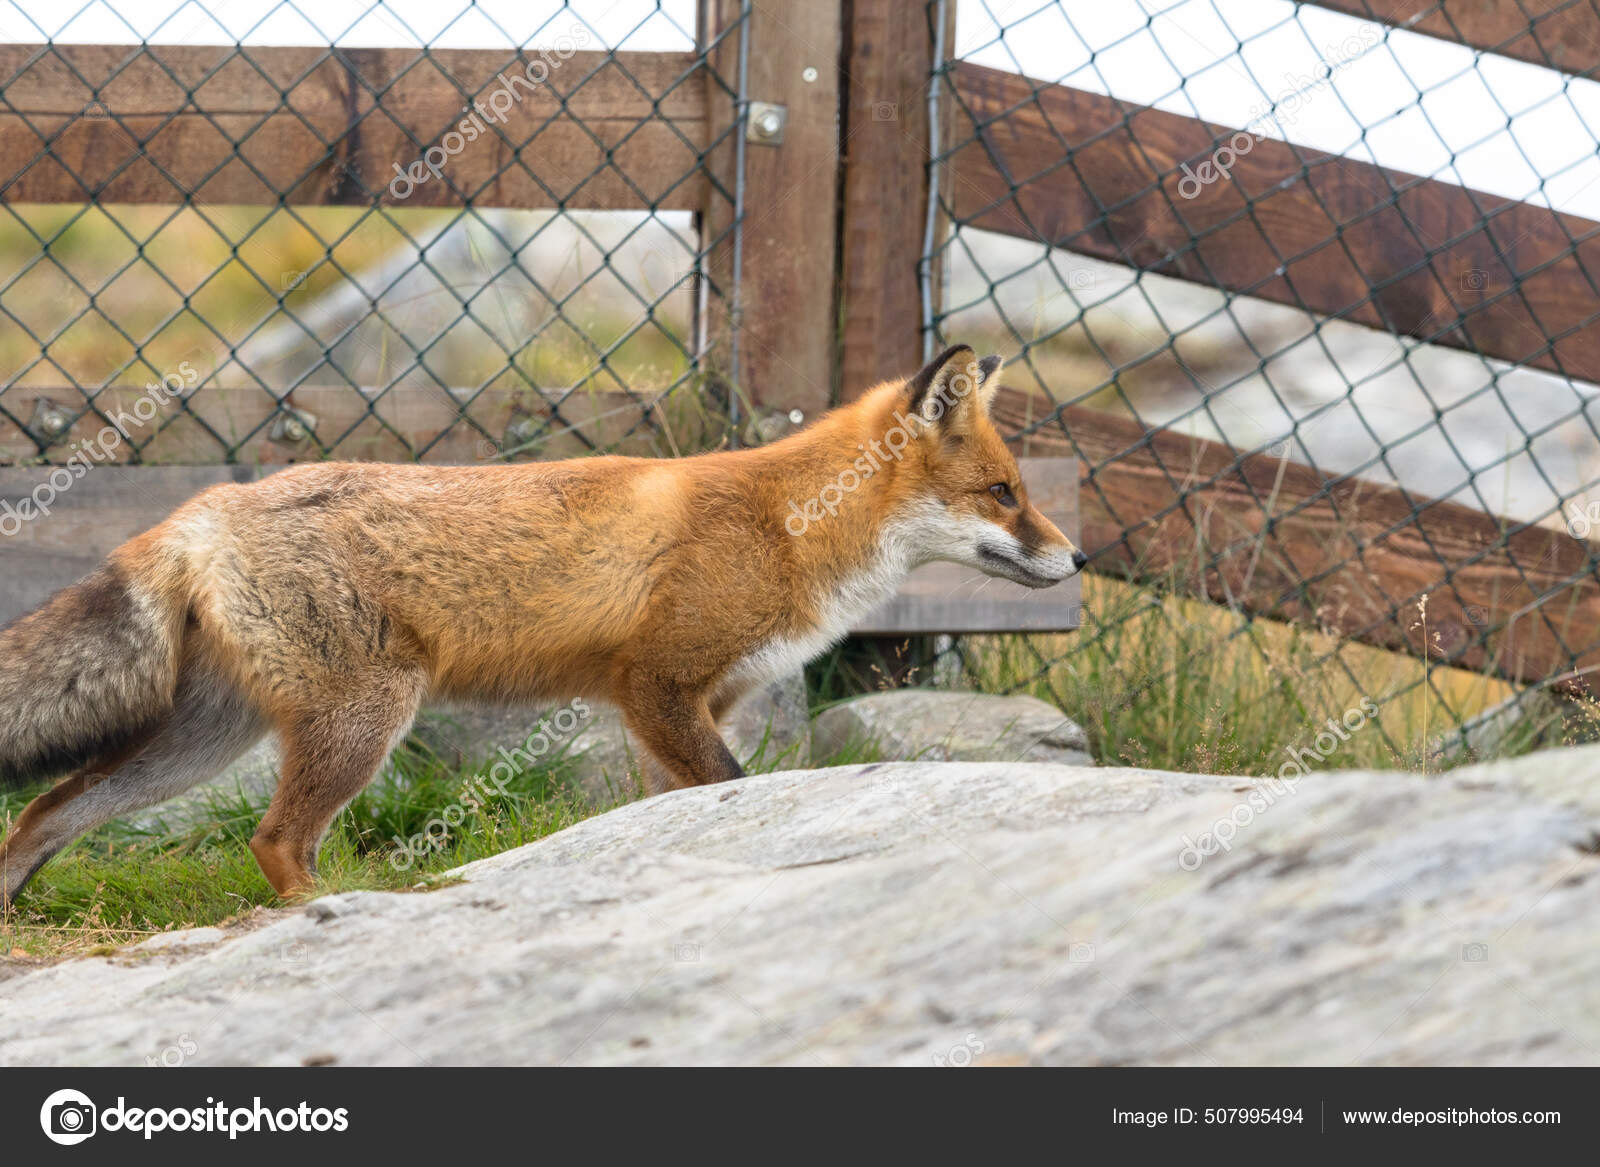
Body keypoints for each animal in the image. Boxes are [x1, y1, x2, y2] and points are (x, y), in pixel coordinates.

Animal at [0, 344, 1085, 904]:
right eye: (1004, 493)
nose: (1077, 561)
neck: (787, 524)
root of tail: (203, 506)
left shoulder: (687, 709)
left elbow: (685, 811)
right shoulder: (656, 685)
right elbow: (731, 786)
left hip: (203, 741)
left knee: (46, 810)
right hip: (362, 719)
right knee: (274, 842)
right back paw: (329, 911)